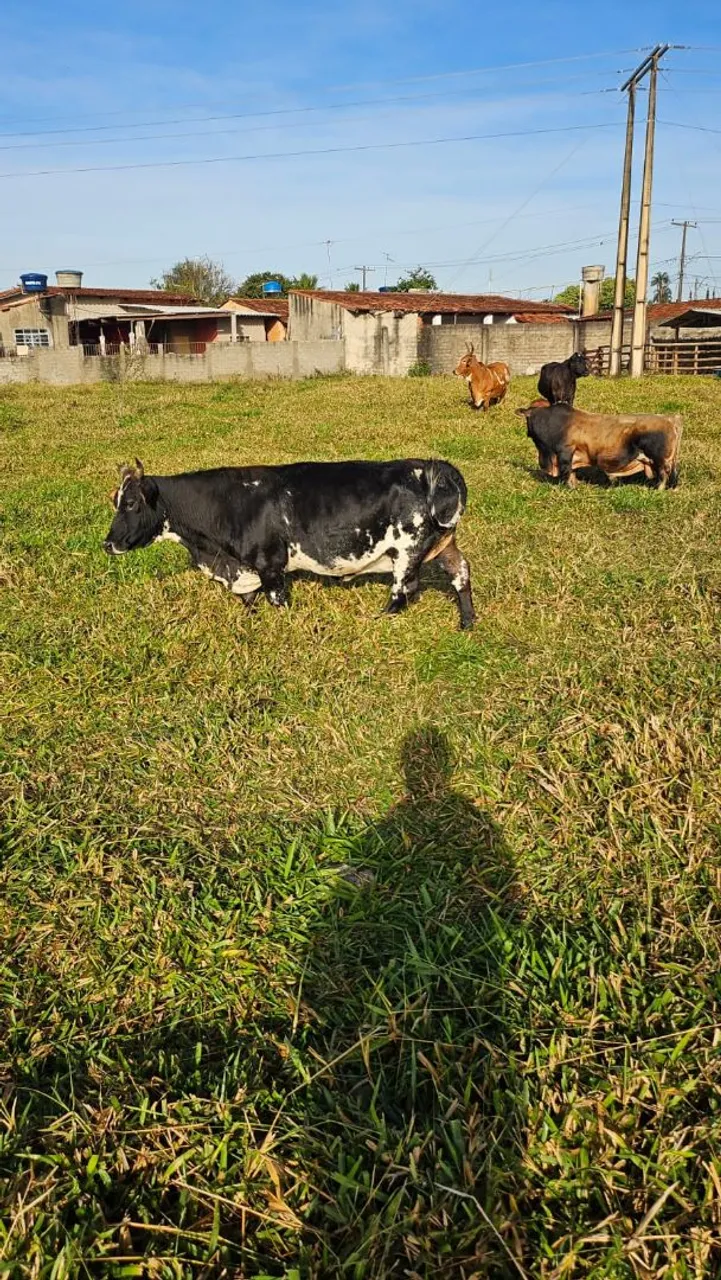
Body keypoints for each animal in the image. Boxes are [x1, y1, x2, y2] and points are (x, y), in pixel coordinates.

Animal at [103, 458, 476, 629]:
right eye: (115, 501)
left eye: (131, 503)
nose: (108, 543)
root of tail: (429, 466)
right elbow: (248, 601)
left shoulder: (270, 566)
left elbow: (276, 602)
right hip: (442, 545)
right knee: (460, 572)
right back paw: (467, 622)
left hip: (406, 551)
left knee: (403, 590)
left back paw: (379, 619)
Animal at [515, 403, 682, 489]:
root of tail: (671, 418)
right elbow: (573, 471)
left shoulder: (565, 452)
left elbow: (567, 471)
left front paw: (570, 487)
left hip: (661, 460)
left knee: (664, 475)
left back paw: (658, 490)